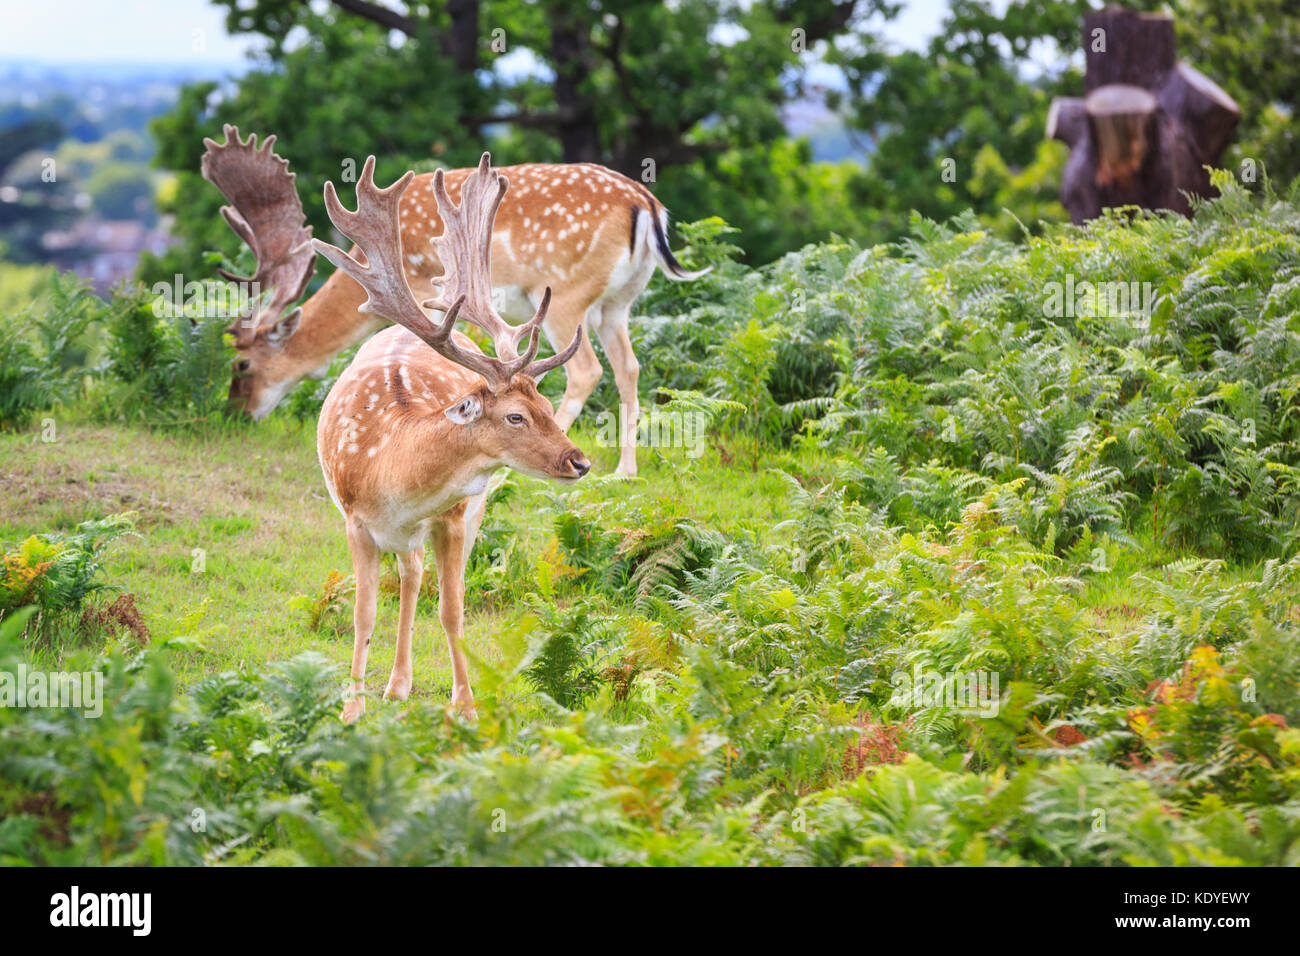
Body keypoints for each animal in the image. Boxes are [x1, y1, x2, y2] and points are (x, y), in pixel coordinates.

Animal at [201, 125, 707, 479]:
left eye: (242, 363)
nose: (236, 416)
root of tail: (647, 204)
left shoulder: (435, 297)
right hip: (618, 302)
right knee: (629, 367)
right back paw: (625, 470)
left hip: (566, 293)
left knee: (588, 369)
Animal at [309, 152, 590, 723]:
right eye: (515, 417)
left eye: (548, 407)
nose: (579, 462)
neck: (389, 470)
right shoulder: (354, 521)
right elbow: (363, 613)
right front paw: (351, 710)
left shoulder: (455, 518)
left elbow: (453, 609)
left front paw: (465, 707)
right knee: (409, 573)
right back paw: (394, 686)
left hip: (470, 513)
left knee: (417, 576)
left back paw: (400, 684)